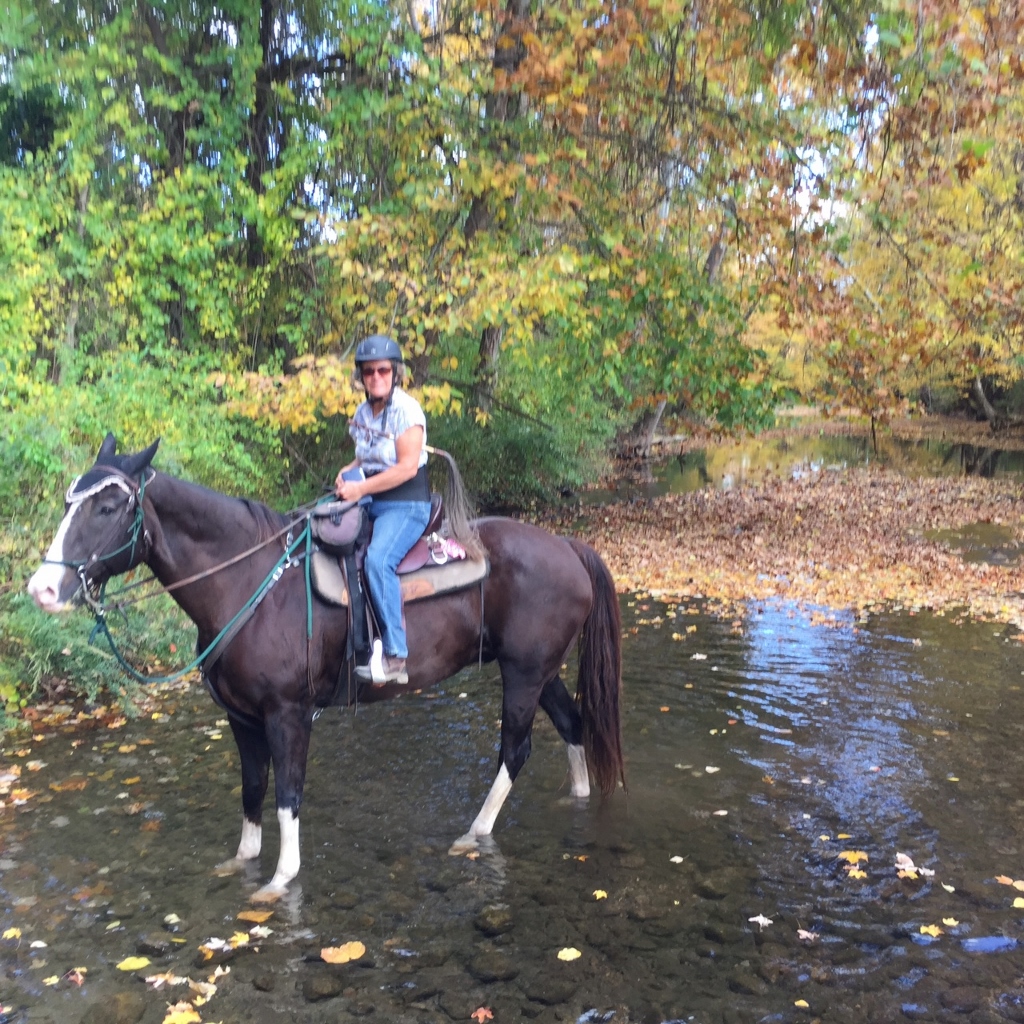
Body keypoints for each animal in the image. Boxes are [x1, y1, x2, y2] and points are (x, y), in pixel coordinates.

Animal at [26, 434, 624, 901]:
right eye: (67, 503)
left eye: (107, 509)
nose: (42, 590)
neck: (252, 584)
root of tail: (566, 546)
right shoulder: (241, 718)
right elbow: (252, 788)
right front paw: (242, 861)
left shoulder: (287, 714)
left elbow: (288, 795)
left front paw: (280, 879)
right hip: (539, 672)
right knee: (572, 725)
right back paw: (576, 799)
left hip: (523, 674)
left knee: (514, 749)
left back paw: (473, 833)